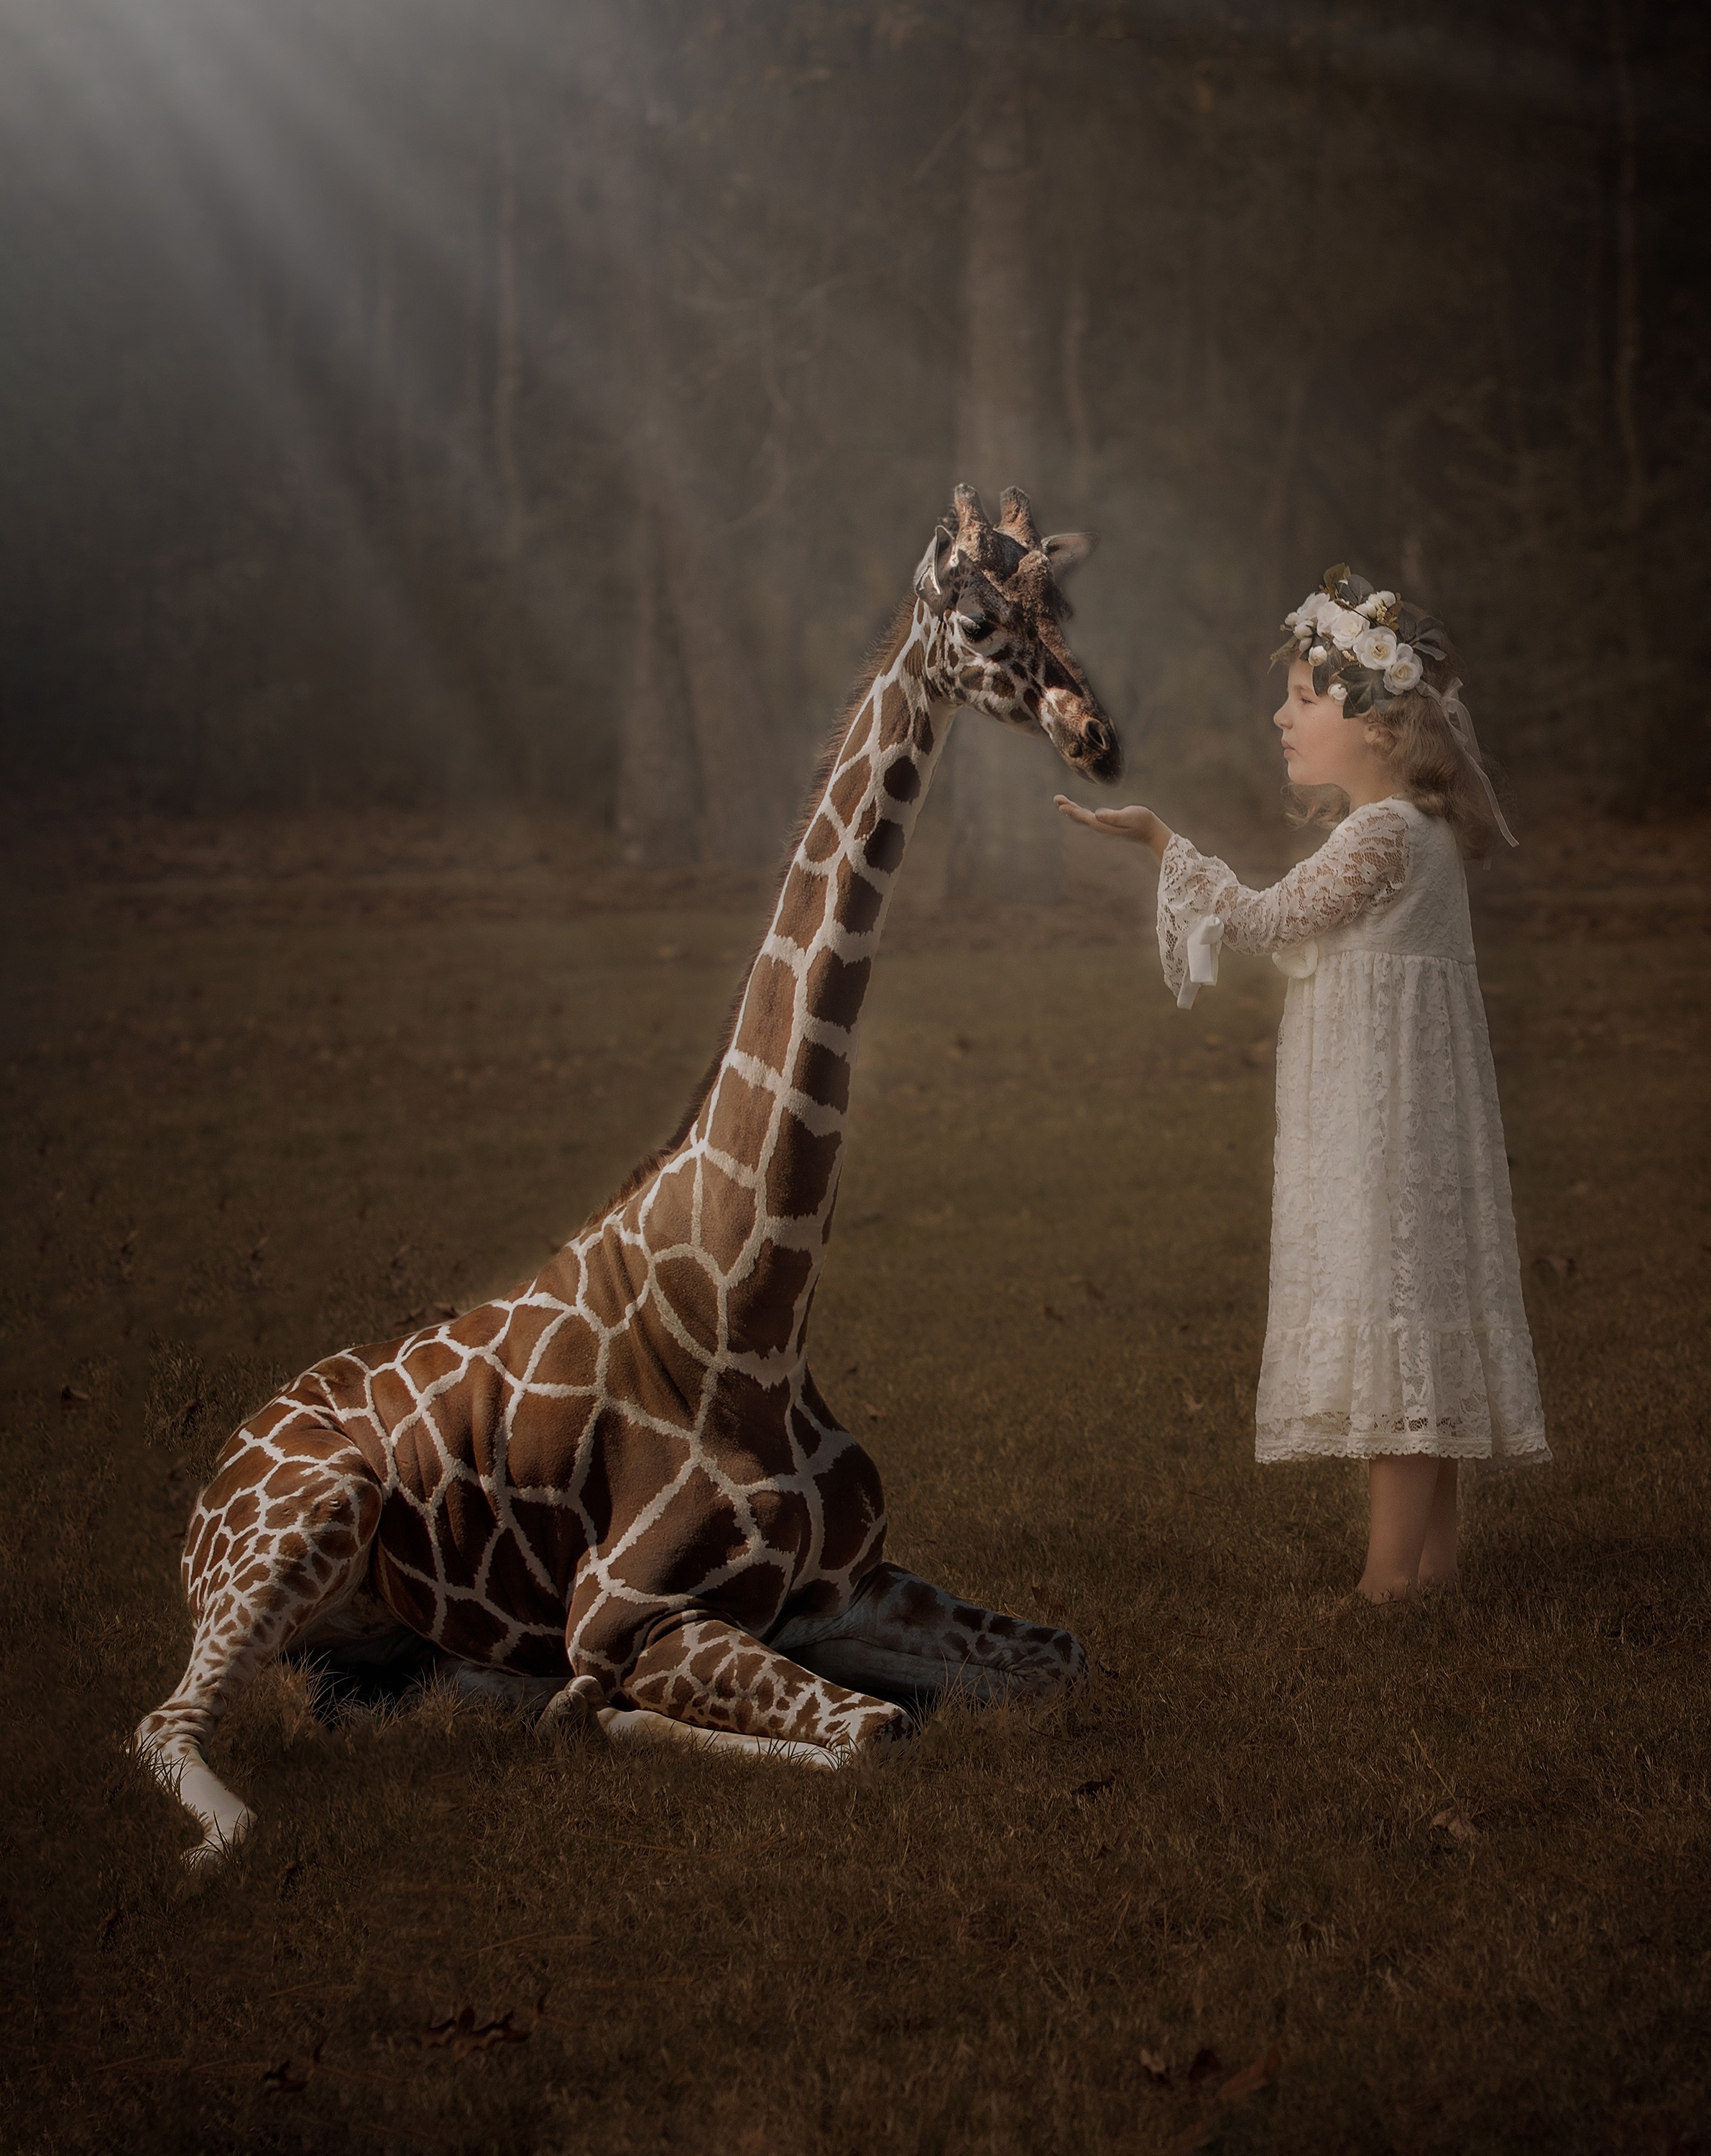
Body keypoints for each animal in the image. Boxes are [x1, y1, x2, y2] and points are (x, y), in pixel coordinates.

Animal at [136, 486, 1123, 1867]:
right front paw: (594, 1714)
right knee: (168, 1720)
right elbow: (875, 1733)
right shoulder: (625, 1610)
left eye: (1059, 605)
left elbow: (1065, 1659)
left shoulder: (851, 1586)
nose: (1096, 738)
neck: (752, 1305)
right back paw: (232, 1835)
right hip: (300, 1523)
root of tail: (214, 1471)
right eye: (978, 622)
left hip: (360, 1633)